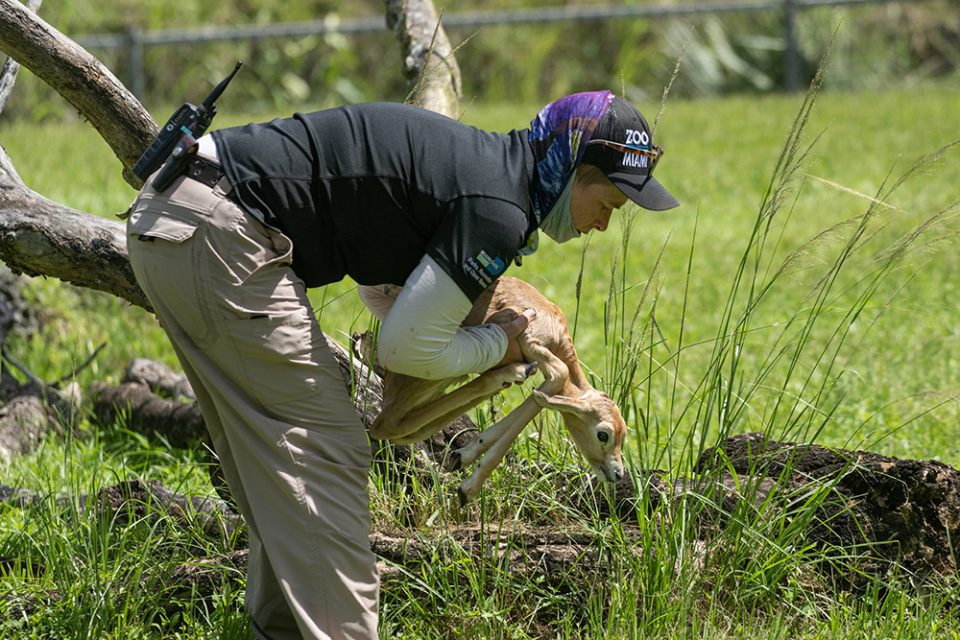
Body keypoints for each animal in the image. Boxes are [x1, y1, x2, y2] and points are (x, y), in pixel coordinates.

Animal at [367, 276, 627, 505]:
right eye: (603, 434)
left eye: (623, 433)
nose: (618, 474)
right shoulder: (534, 346)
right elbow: (557, 376)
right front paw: (468, 488)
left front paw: (462, 457)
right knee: (387, 424)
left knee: (401, 428)